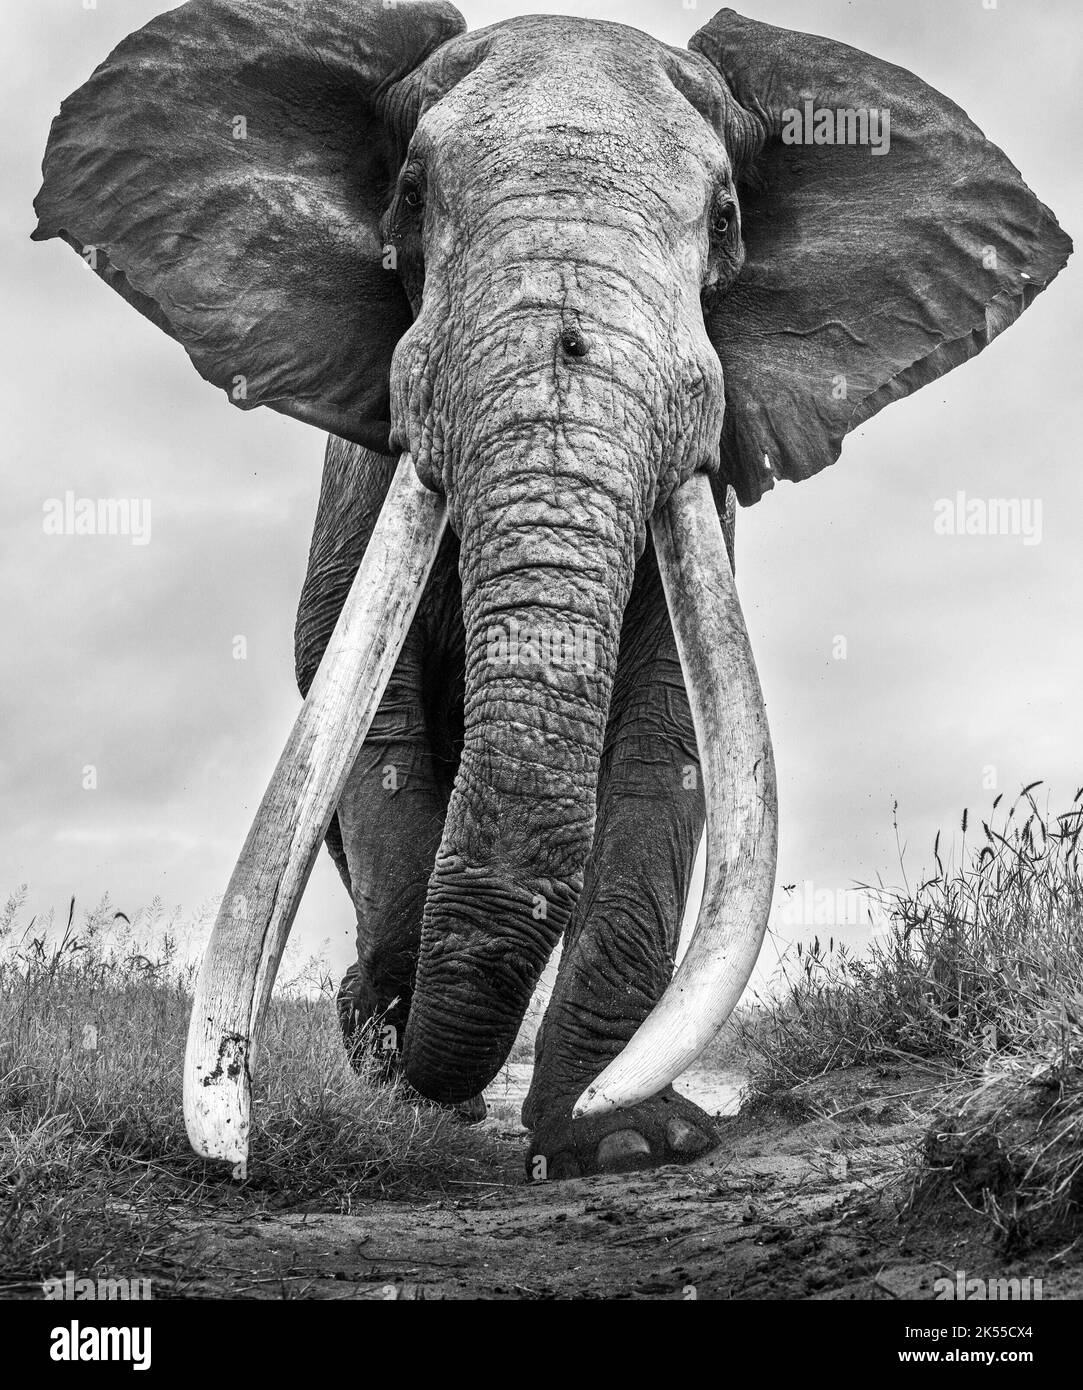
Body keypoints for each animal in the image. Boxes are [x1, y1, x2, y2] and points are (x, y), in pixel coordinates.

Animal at [34, 1, 1070, 1181]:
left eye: (724, 218)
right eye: (410, 194)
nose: (235, 1155)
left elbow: (668, 728)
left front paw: (617, 1140)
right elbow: (373, 729)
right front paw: (409, 1084)